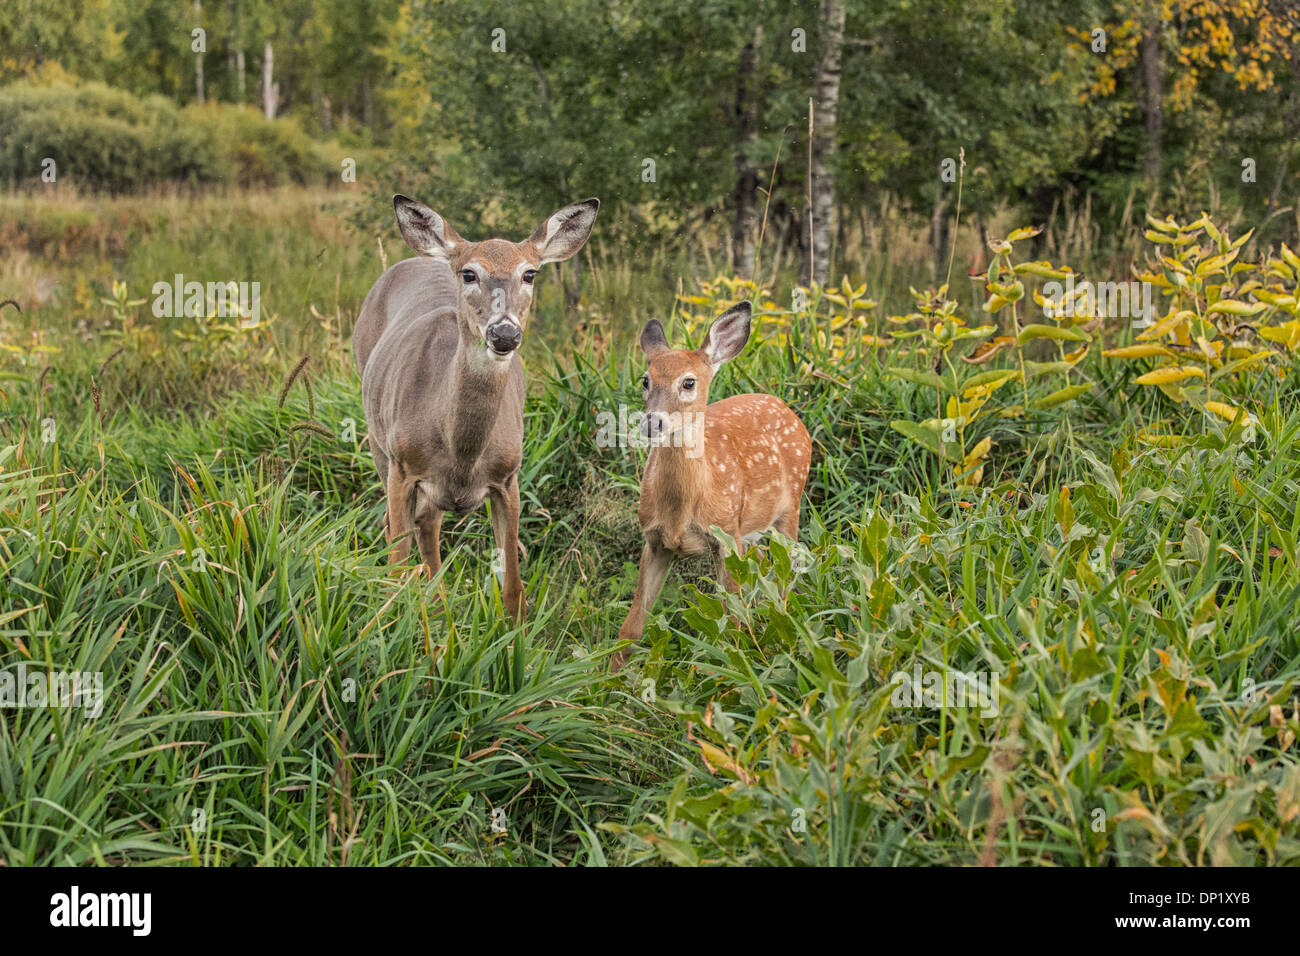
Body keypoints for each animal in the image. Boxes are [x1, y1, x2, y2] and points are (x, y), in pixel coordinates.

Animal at [353, 193, 599, 622]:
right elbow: (396, 569)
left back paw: (438, 606)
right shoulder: (403, 466)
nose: (504, 333)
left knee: (428, 527)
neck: (461, 451)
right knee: (397, 530)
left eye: (530, 274)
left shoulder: (508, 477)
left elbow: (514, 587)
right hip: (377, 442)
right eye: (468, 274)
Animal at [612, 300, 811, 671]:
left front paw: (732, 672)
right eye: (645, 380)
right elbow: (631, 627)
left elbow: (731, 622)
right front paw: (608, 679)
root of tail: (784, 407)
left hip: (791, 507)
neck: (682, 510)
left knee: (786, 574)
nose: (652, 423)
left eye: (689, 382)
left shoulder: (726, 535)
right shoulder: (654, 541)